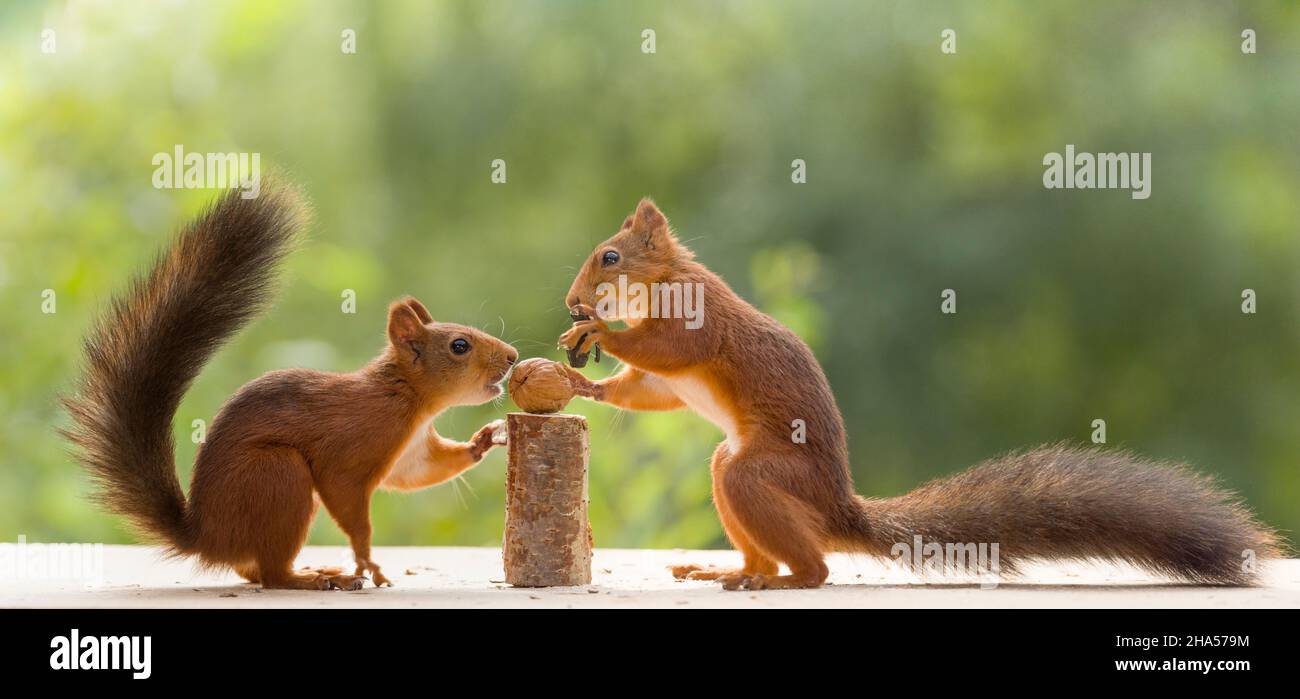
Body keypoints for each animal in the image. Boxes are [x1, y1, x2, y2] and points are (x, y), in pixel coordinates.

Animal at [62, 183, 518, 590]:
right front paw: (368, 563)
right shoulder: (353, 449)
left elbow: (421, 472)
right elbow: (347, 497)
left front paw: (482, 440)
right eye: (459, 346)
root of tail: (207, 539)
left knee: (253, 571)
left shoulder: (412, 450)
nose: (513, 356)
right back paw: (313, 580)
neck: (407, 399)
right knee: (270, 575)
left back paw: (315, 571)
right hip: (278, 476)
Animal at [559, 198, 1282, 590]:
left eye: (610, 258)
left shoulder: (697, 321)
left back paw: (772, 575)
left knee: (816, 567)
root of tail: (839, 506)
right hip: (732, 471)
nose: (571, 301)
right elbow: (650, 388)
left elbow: (664, 352)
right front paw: (583, 381)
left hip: (762, 474)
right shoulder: (667, 377)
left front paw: (599, 332)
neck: (663, 282)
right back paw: (732, 570)